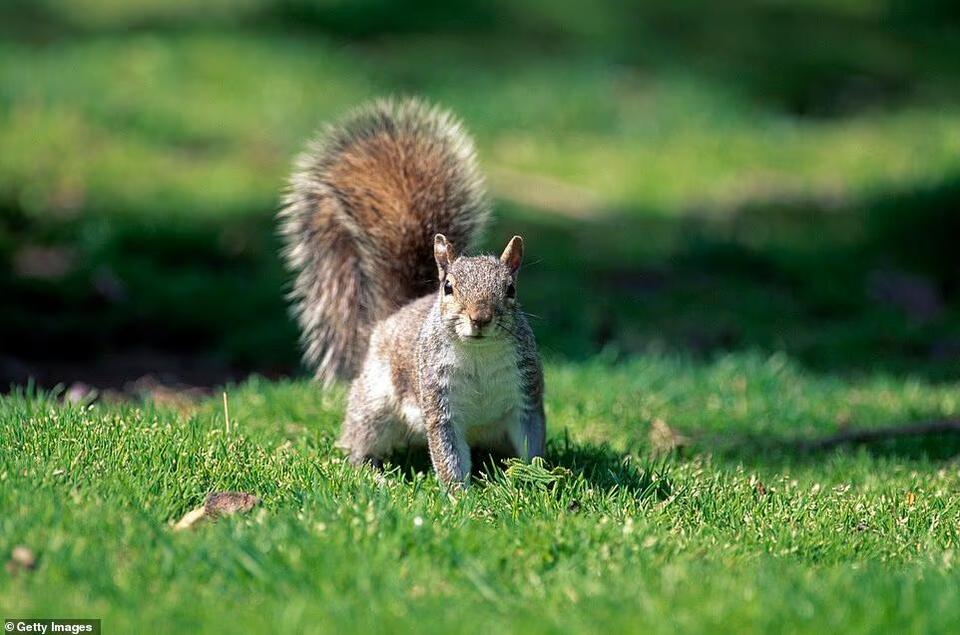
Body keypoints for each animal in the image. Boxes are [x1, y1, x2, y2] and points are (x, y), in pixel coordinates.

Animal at [279, 97, 545, 490]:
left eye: (510, 290)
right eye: (448, 288)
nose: (480, 318)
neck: (478, 355)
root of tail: (391, 316)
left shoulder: (525, 398)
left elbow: (532, 443)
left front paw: (538, 478)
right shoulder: (439, 404)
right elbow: (448, 455)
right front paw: (459, 495)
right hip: (374, 405)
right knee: (356, 441)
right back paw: (373, 475)